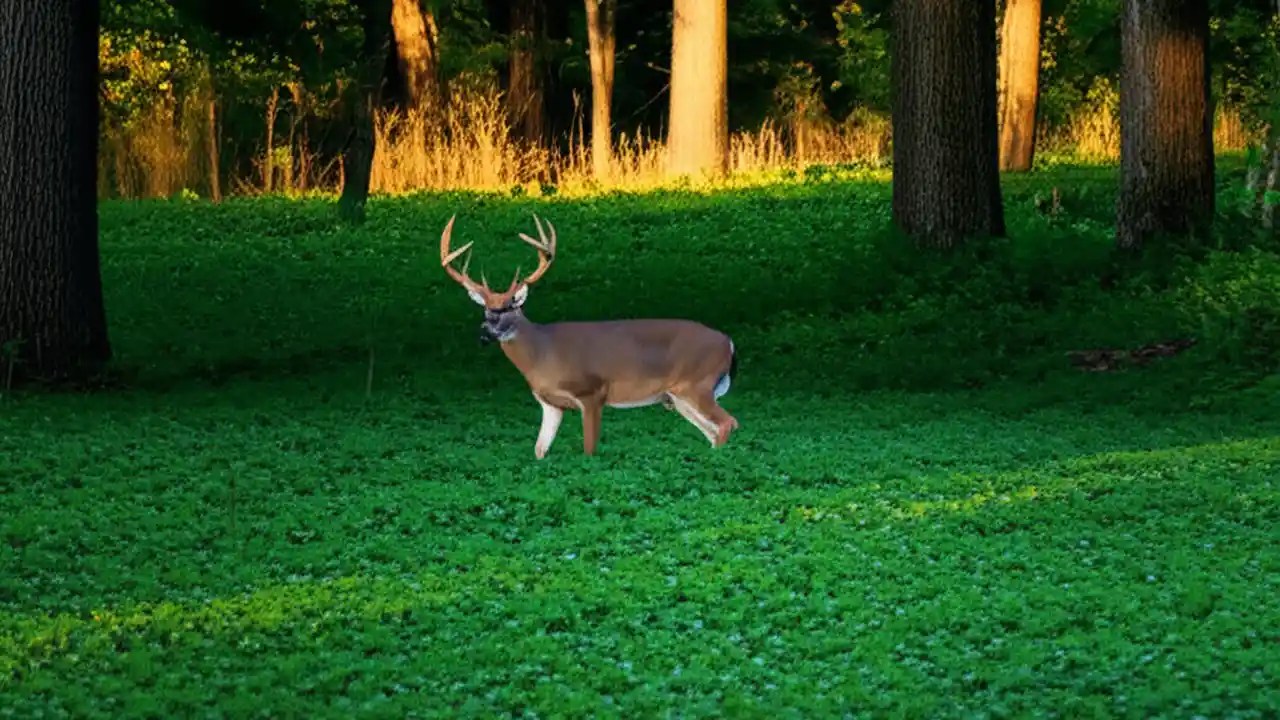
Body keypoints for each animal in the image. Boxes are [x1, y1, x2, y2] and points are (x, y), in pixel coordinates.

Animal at [438, 213, 739, 459]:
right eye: (486, 310)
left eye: (511, 307)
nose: (484, 334)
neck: (542, 352)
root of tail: (729, 342)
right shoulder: (549, 404)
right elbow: (539, 450)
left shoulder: (592, 391)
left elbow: (589, 449)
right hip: (678, 397)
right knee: (715, 431)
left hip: (697, 383)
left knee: (727, 423)